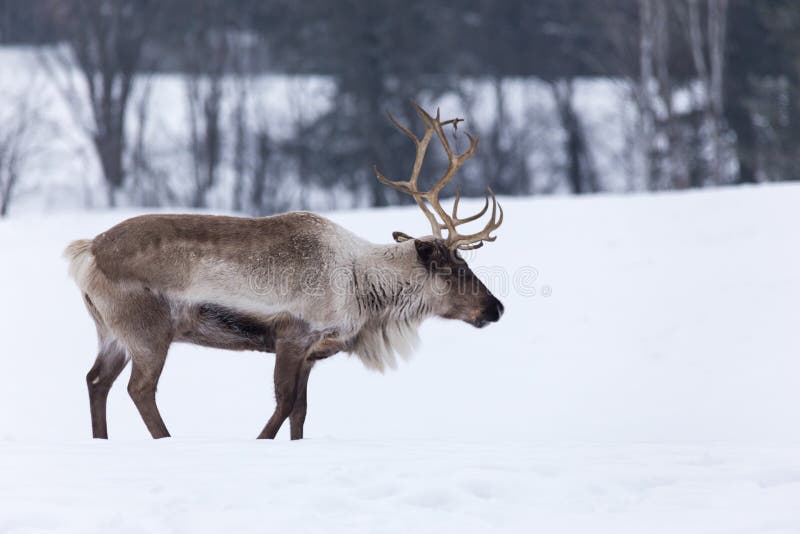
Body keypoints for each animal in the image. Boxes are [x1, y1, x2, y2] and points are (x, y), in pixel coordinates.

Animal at [65, 103, 504, 440]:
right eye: (454, 269)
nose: (496, 308)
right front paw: (259, 441)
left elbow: (301, 412)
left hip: (111, 331)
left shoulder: (311, 354)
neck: (361, 290)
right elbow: (284, 403)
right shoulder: (293, 335)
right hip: (148, 330)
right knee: (139, 389)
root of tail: (86, 251)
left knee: (96, 380)